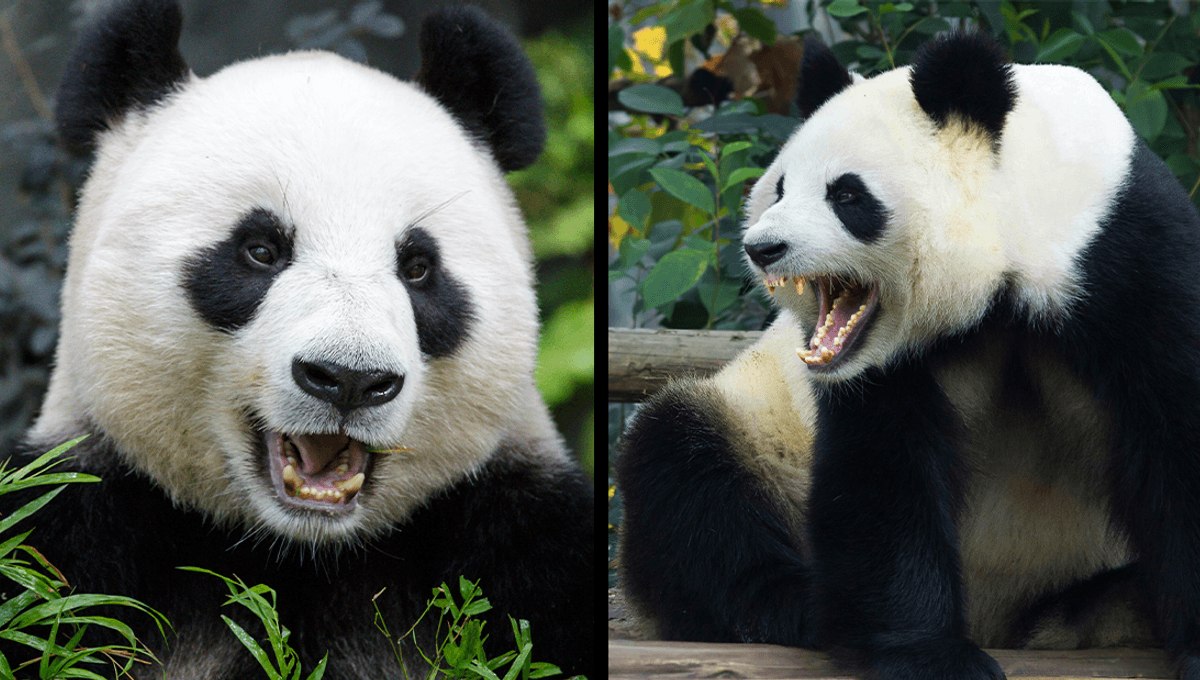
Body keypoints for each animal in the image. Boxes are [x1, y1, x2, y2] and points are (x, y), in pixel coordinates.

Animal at [0, 0, 593, 677]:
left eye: (418, 267)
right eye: (260, 250)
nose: (350, 379)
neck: (302, 553)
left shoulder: (523, 544)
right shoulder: (78, 532)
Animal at [617, 31, 1200, 680]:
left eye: (847, 195)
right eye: (780, 188)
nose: (762, 248)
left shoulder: (1120, 253)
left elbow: (1175, 432)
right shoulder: (879, 367)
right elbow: (885, 470)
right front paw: (932, 655)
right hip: (759, 425)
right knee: (685, 470)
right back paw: (799, 605)